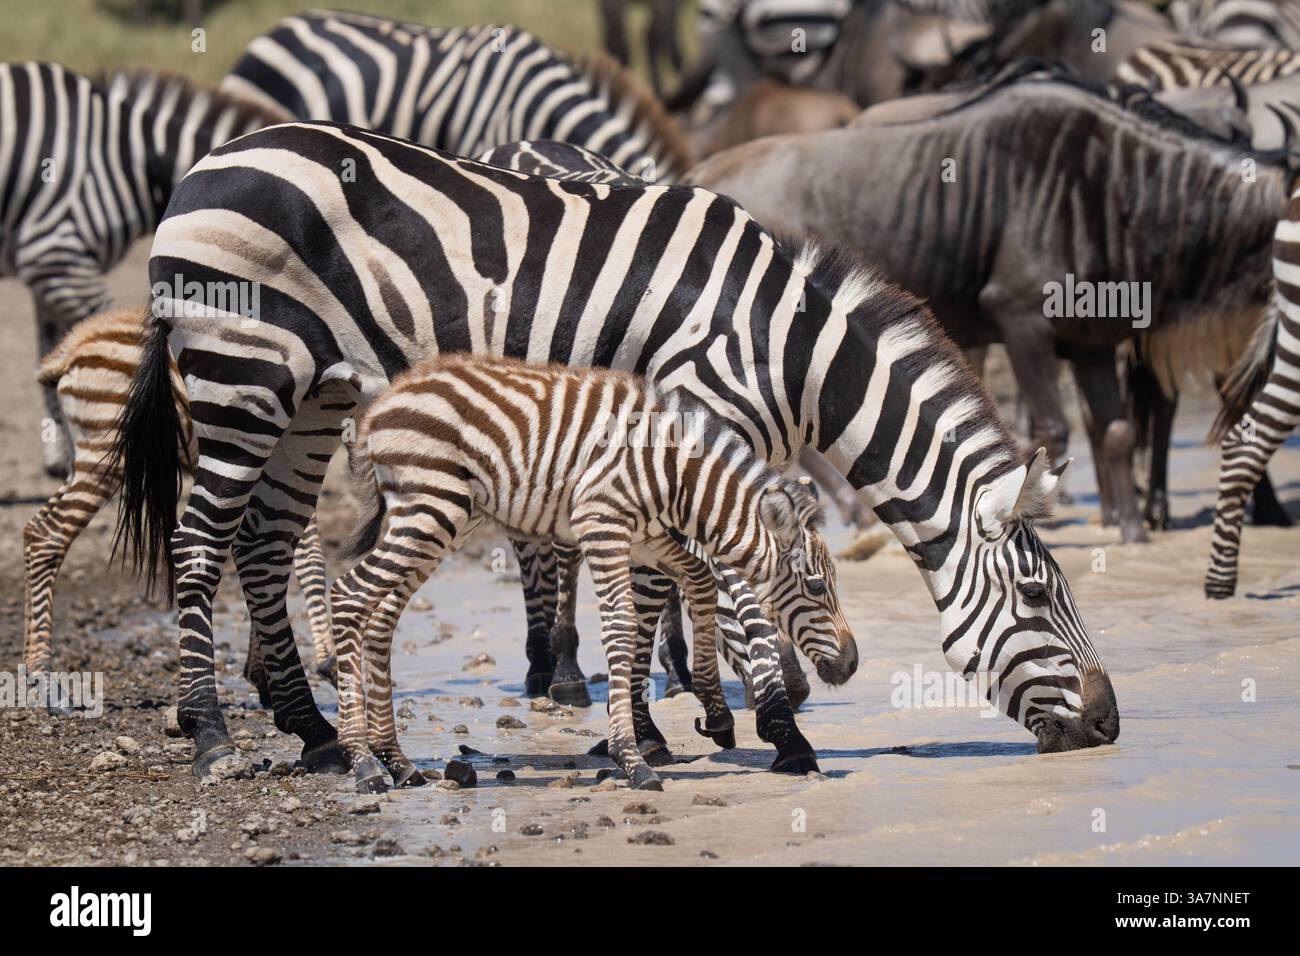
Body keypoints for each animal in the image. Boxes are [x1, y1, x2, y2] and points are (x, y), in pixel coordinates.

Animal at [24, 307, 336, 703]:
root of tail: (78, 341)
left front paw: (262, 672)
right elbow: (304, 557)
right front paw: (324, 662)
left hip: (86, 458)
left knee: (34, 529)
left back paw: (30, 665)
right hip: (106, 458)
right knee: (49, 535)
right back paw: (42, 674)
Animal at [333, 354, 855, 792]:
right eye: (815, 587)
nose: (852, 664)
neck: (675, 474)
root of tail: (382, 403)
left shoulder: (649, 536)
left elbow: (702, 583)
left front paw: (715, 709)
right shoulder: (602, 524)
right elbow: (623, 627)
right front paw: (632, 758)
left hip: (439, 520)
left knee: (381, 617)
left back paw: (398, 762)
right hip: (430, 509)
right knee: (348, 595)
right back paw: (364, 763)